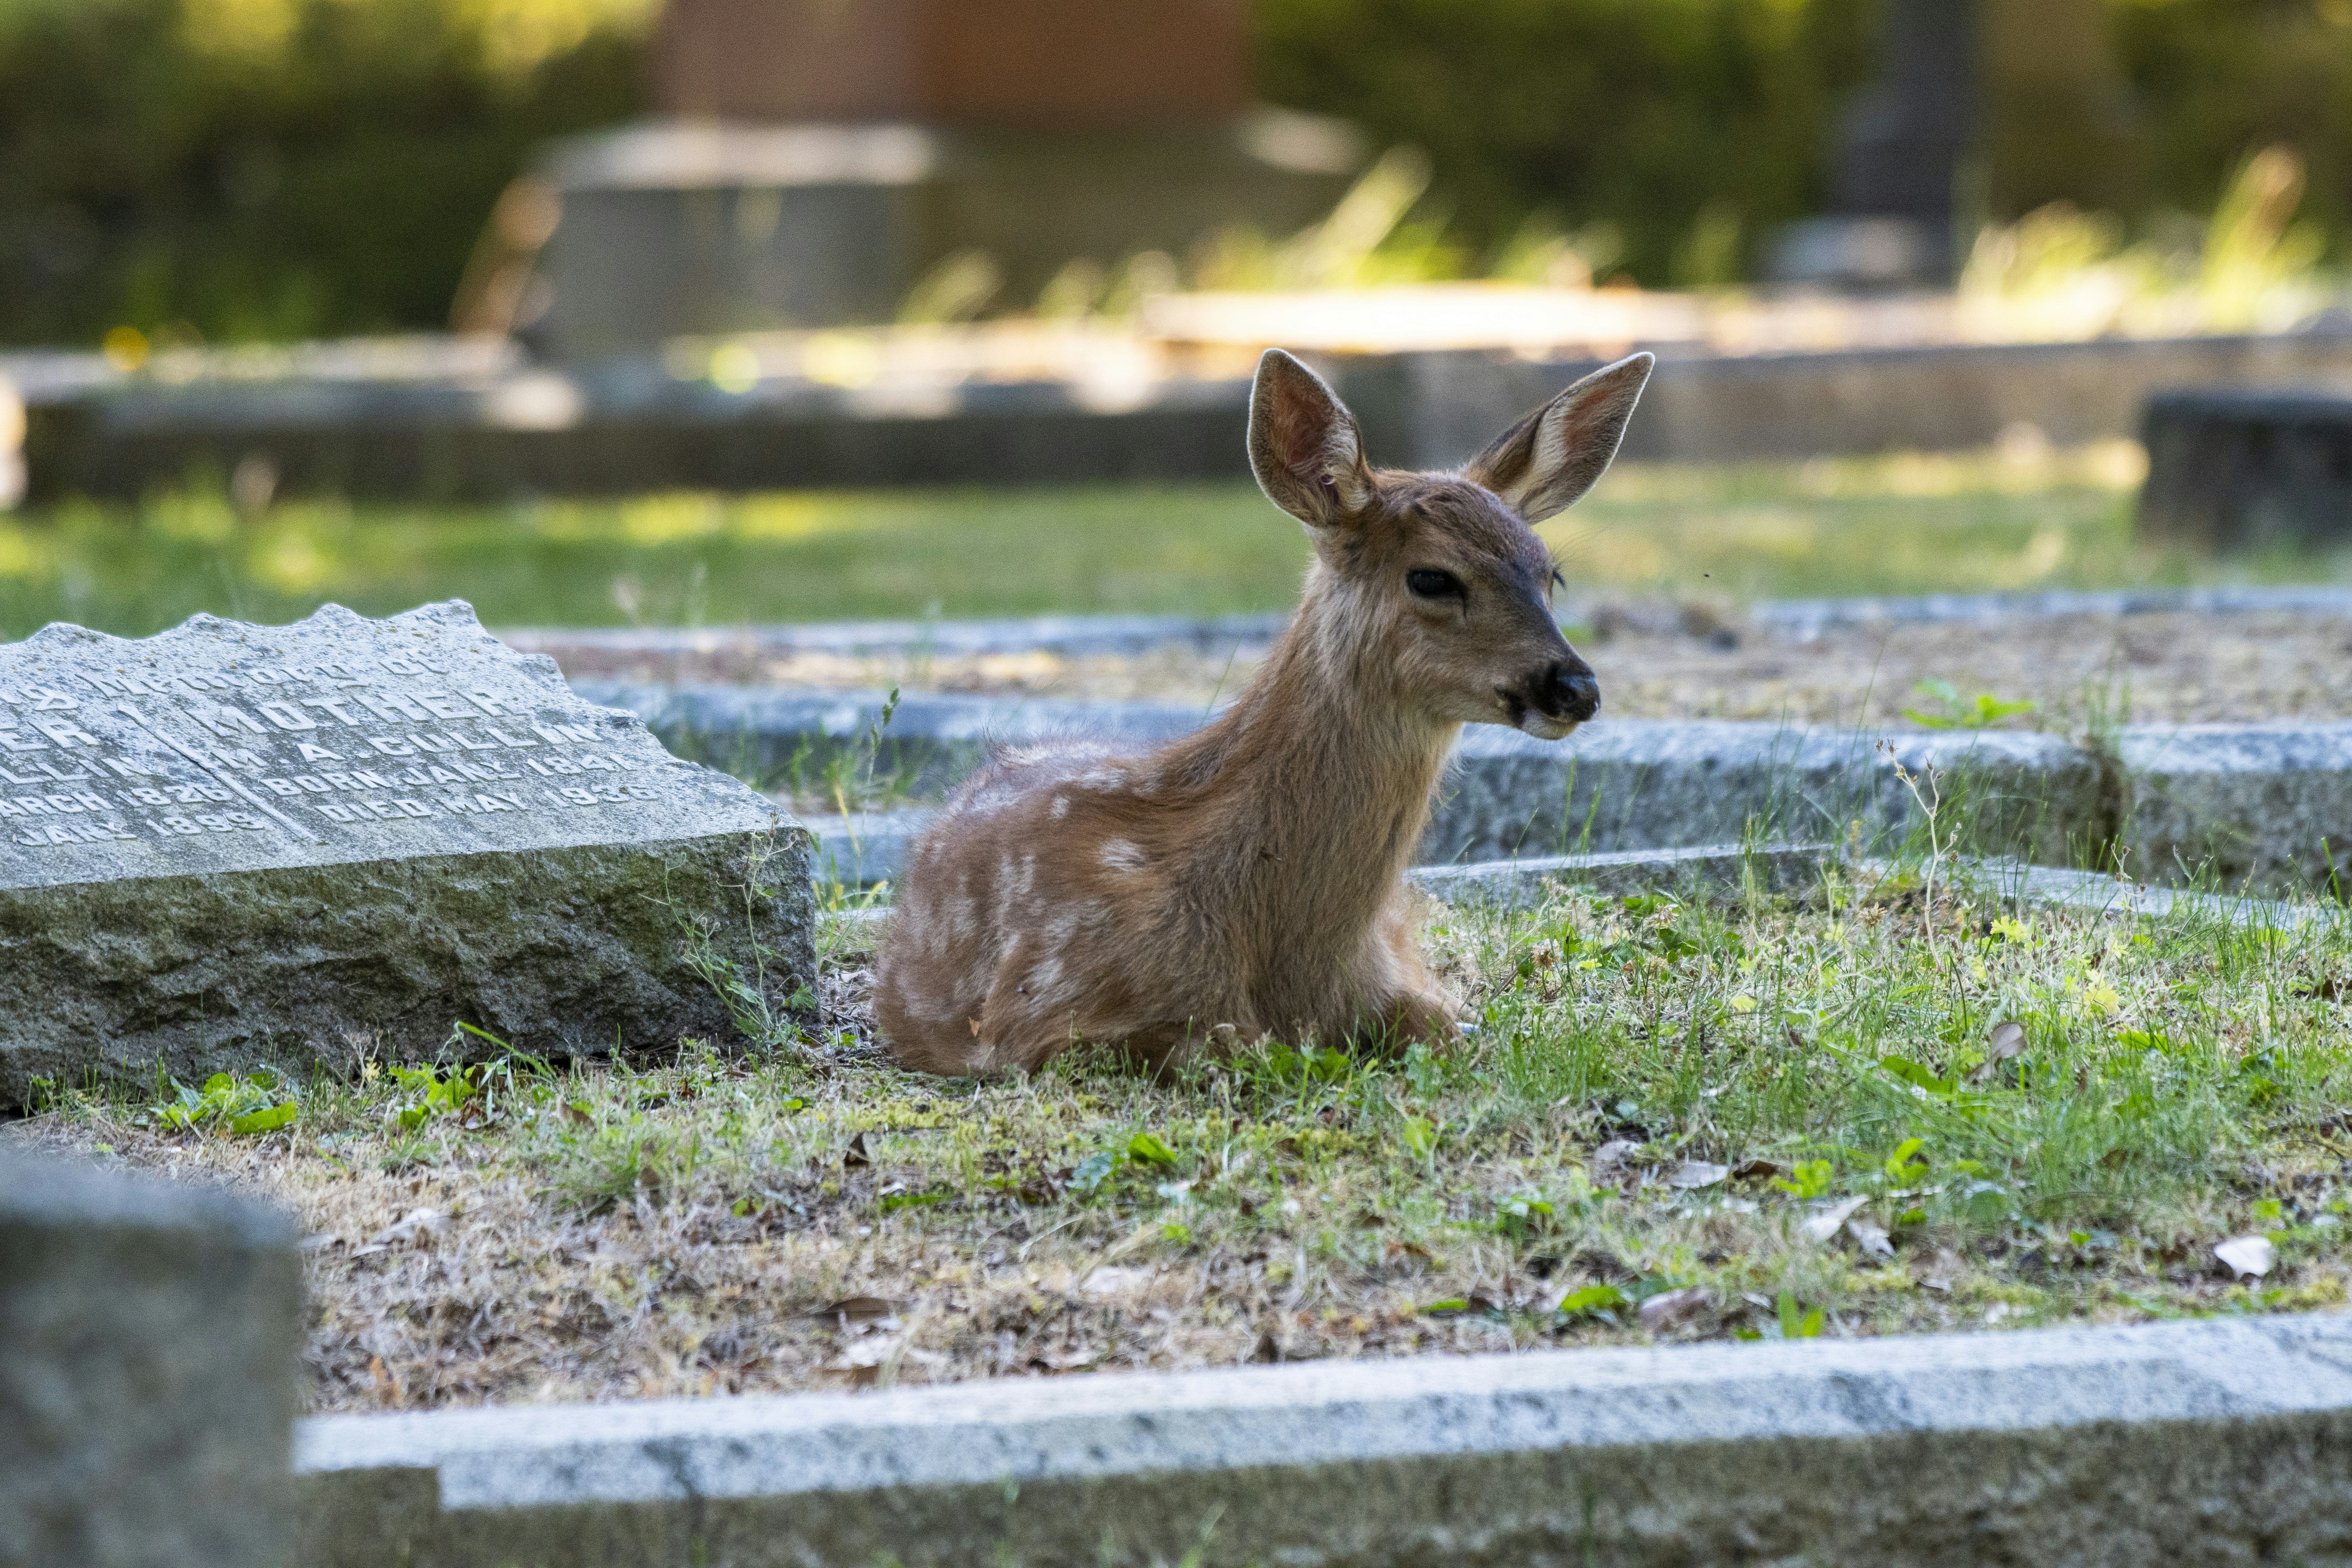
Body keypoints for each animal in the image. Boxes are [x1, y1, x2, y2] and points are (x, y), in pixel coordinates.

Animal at [874, 347, 1653, 1075]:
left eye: (1550, 574)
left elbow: (1444, 1026)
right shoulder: (1037, 1015)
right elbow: (1232, 1046)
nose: (1575, 687)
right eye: (1432, 578)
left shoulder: (1400, 978)